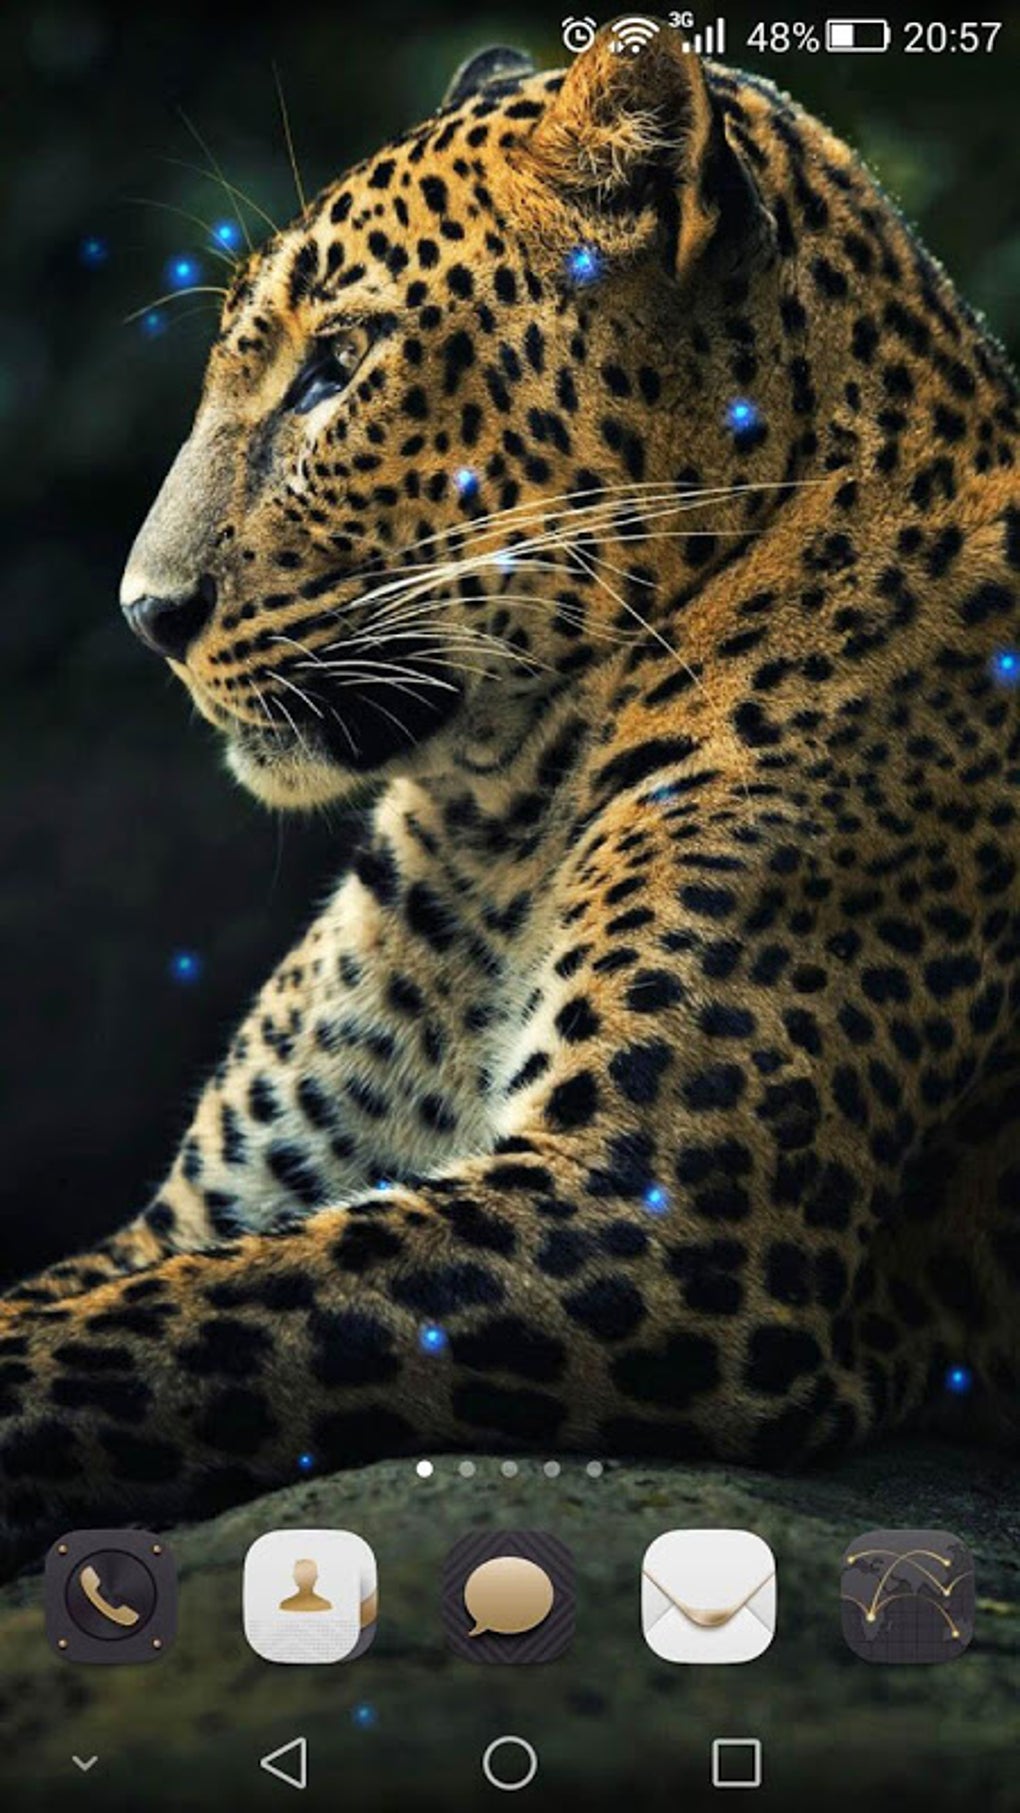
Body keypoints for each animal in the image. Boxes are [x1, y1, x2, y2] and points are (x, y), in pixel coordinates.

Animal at [2, 25, 1019, 1568]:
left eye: (337, 368)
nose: (146, 616)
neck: (494, 817)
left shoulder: (639, 1212)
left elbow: (168, 1330)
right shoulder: (201, 1205)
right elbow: (96, 1297)